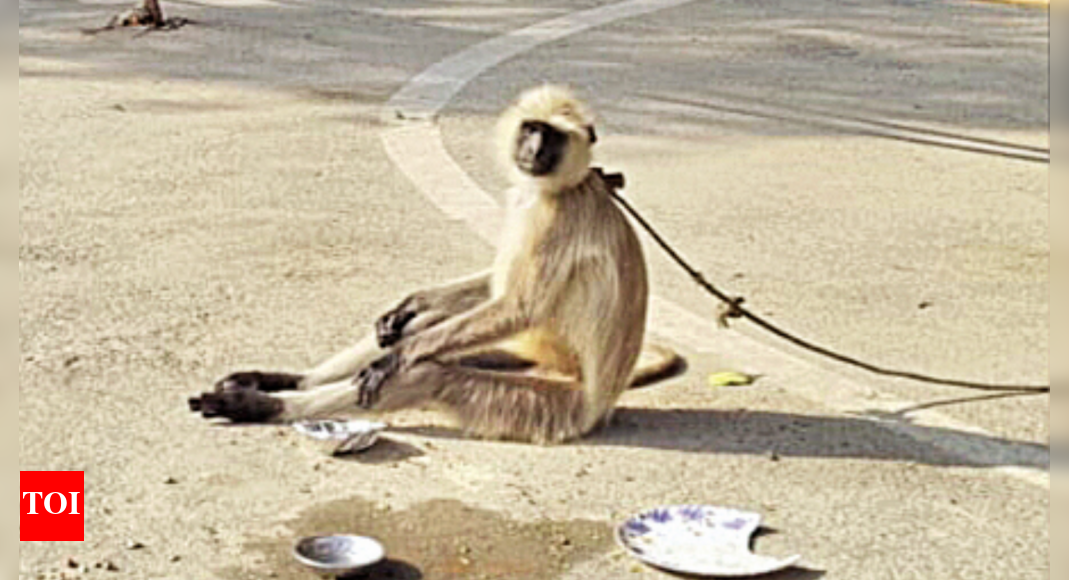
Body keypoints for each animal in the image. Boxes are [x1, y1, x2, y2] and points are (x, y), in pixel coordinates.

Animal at [189, 85, 683, 443]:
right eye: (532, 129)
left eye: (554, 136)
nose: (535, 149)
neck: (563, 186)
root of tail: (603, 401)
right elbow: (473, 294)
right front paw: (406, 305)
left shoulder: (554, 218)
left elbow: (516, 307)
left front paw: (394, 359)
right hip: (532, 358)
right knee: (418, 330)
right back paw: (281, 381)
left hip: (552, 404)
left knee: (429, 372)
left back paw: (260, 405)